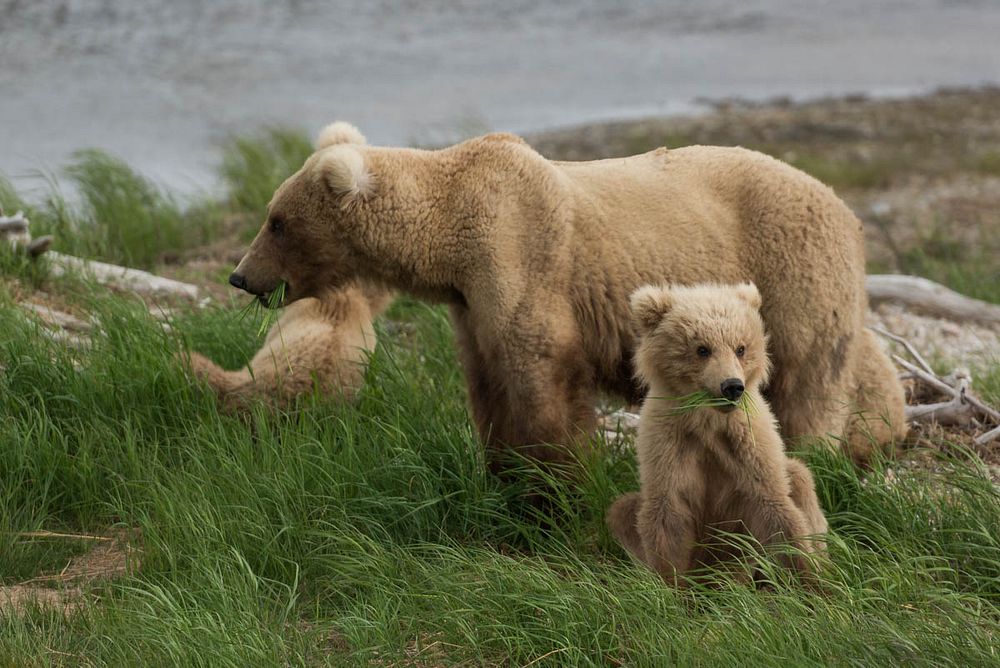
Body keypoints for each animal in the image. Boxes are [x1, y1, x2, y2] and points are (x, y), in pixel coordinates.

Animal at [226, 121, 906, 469]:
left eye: (277, 221)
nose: (240, 276)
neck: (448, 237)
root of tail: (846, 207)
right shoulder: (471, 303)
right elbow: (488, 383)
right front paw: (501, 467)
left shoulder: (521, 257)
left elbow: (542, 377)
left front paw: (556, 479)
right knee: (856, 357)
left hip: (790, 266)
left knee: (807, 373)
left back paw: (818, 451)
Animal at [606, 283, 828, 586]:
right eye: (702, 349)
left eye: (740, 348)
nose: (731, 386)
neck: (708, 420)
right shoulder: (669, 442)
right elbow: (666, 516)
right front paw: (668, 585)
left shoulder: (748, 442)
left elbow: (777, 508)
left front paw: (813, 583)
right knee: (622, 509)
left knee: (800, 477)